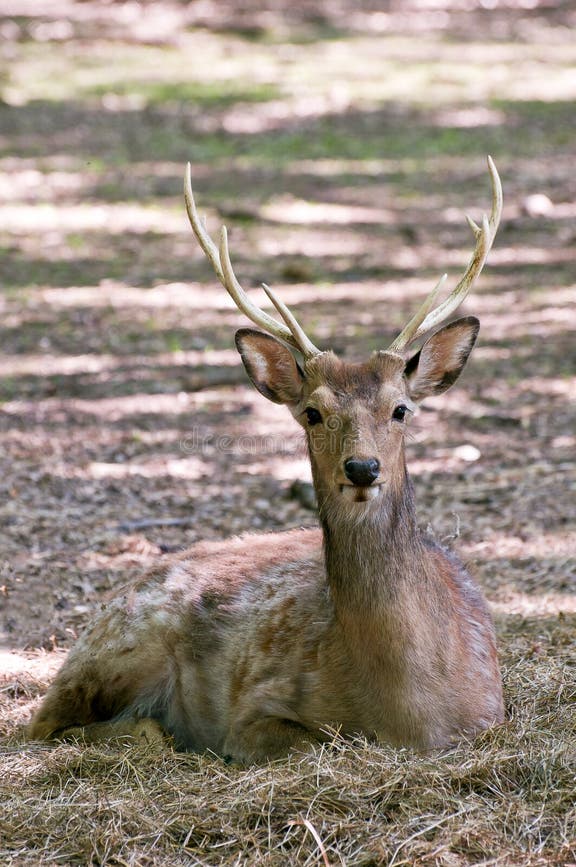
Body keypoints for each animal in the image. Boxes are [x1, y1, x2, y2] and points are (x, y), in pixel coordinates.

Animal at [29, 158, 505, 763]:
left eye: (401, 408)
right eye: (312, 412)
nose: (362, 468)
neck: (410, 712)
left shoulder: (492, 710)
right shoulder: (255, 711)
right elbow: (312, 742)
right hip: (119, 646)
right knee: (44, 723)